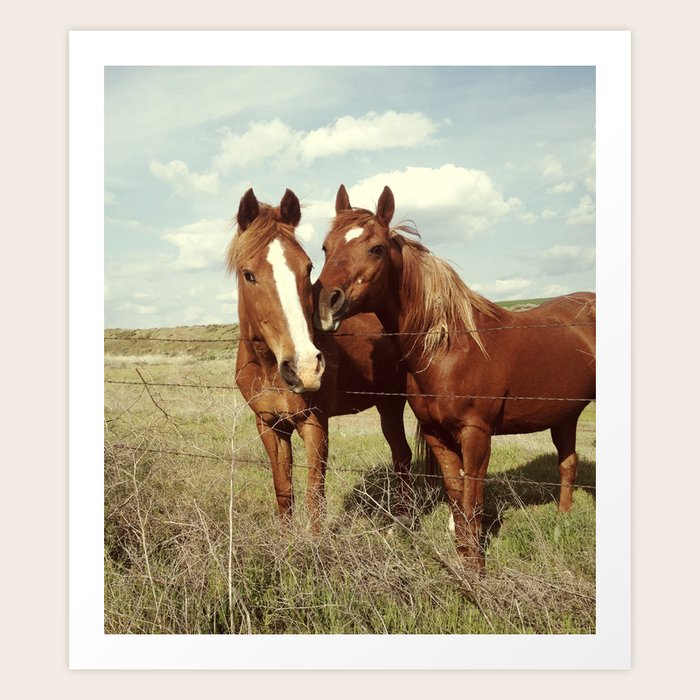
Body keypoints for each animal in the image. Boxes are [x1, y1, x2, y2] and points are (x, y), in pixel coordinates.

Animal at [227, 187, 413, 529]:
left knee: (402, 455)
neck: (269, 368)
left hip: (392, 404)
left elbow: (315, 499)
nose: (305, 367)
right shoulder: (269, 426)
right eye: (249, 275)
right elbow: (284, 493)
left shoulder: (314, 423)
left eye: (308, 267)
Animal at [314, 184, 596, 570]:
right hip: (565, 416)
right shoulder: (437, 435)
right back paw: (560, 525)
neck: (449, 347)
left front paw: (474, 567)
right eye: (326, 247)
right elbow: (456, 494)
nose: (326, 304)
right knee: (567, 466)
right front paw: (462, 557)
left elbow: (472, 497)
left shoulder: (476, 435)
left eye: (377, 248)